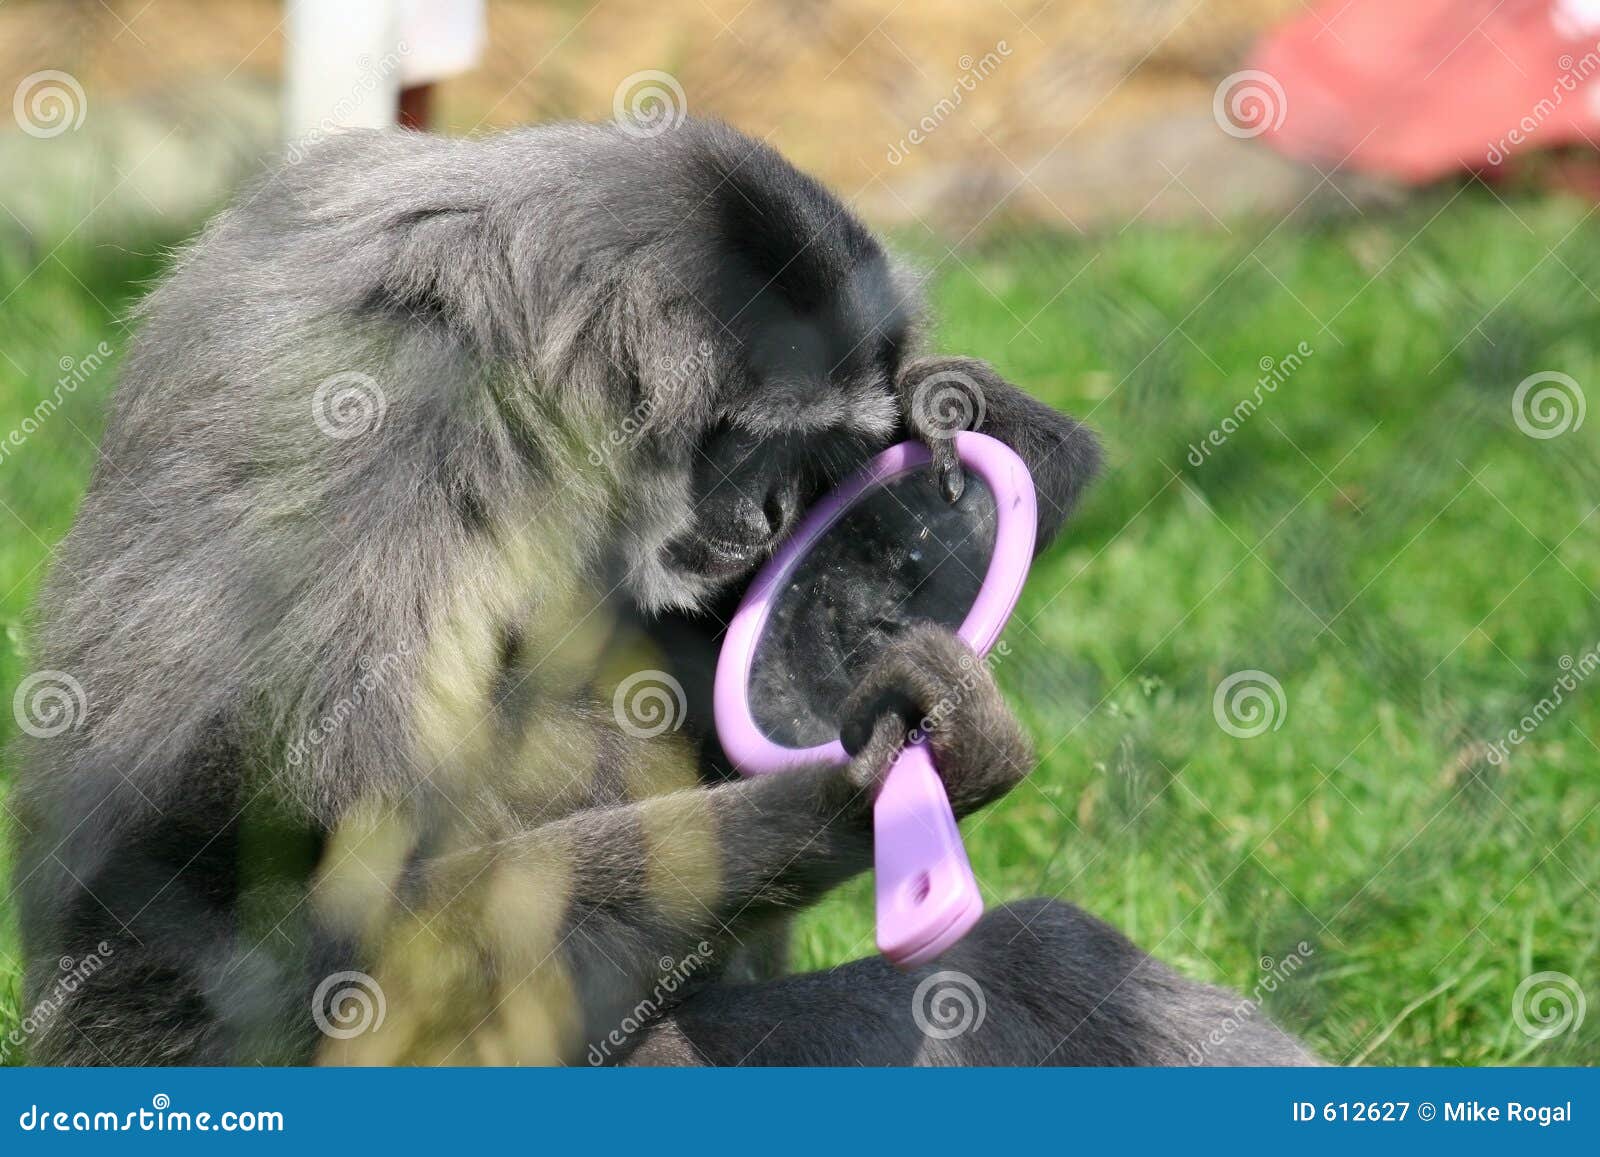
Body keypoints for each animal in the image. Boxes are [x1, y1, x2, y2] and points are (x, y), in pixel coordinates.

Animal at [10, 118, 1319, 1066]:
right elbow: (242, 920)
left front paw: (980, 423)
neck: (506, 384)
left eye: (824, 458)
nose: (773, 516)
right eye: (755, 449)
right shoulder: (366, 425)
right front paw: (865, 787)